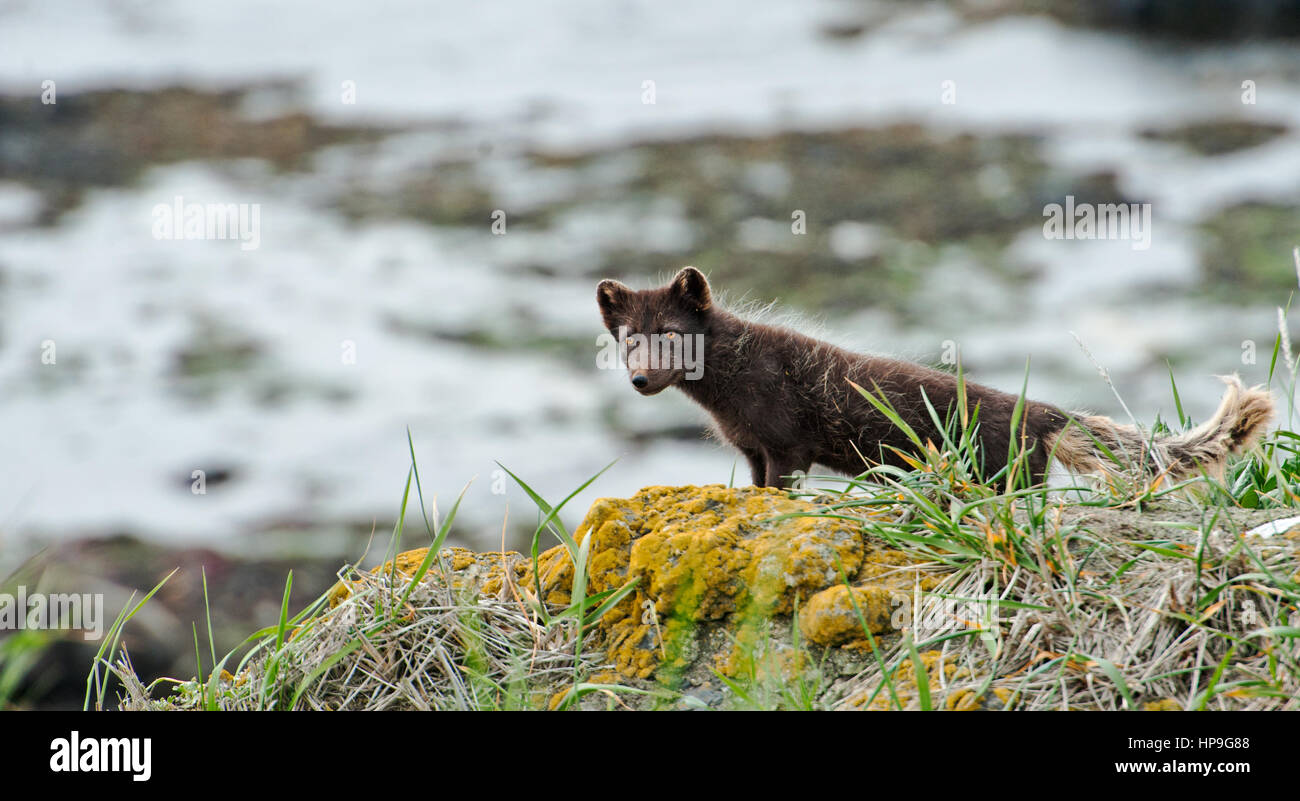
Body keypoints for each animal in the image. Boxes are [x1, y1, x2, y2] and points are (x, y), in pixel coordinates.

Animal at [596, 266, 1275, 489]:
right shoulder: (749, 446)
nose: (640, 382)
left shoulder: (786, 440)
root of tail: (1044, 413)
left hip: (1003, 468)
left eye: (670, 334)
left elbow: (783, 482)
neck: (729, 395)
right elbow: (757, 486)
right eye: (629, 338)